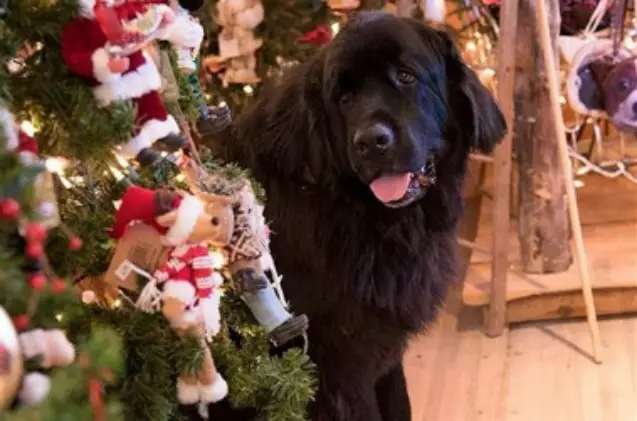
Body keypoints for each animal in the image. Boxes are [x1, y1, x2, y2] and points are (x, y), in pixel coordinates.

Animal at [216, 9, 504, 420]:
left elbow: (400, 402)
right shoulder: (338, 370)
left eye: (406, 76)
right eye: (344, 98)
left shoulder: (382, 347)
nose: (371, 141)